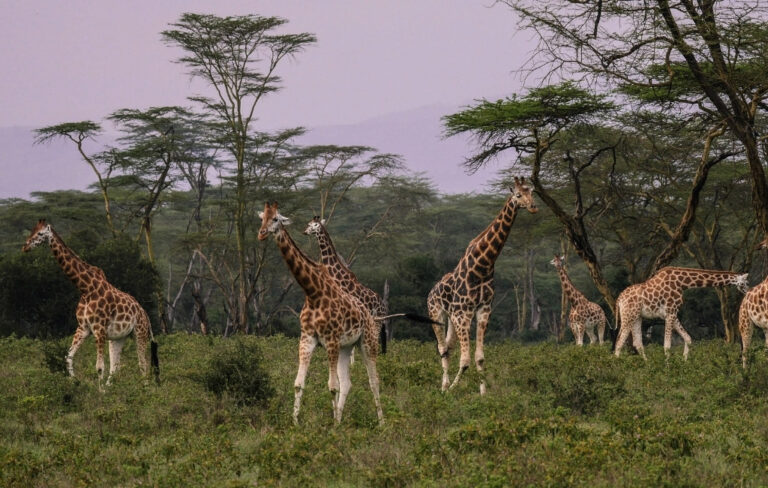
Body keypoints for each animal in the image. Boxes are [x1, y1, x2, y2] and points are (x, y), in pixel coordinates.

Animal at [22, 219, 159, 388]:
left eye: (40, 234)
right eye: (32, 230)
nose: (25, 246)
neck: (85, 289)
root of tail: (145, 314)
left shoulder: (99, 329)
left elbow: (99, 366)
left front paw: (99, 392)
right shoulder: (83, 328)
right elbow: (68, 358)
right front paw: (75, 382)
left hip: (140, 333)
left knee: (143, 364)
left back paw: (144, 389)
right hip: (118, 338)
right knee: (116, 366)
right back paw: (111, 388)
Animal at [427, 177, 538, 394]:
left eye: (531, 191)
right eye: (518, 195)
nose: (533, 207)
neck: (483, 266)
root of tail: (431, 291)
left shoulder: (483, 310)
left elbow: (479, 358)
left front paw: (483, 394)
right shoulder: (463, 313)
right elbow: (465, 360)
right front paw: (452, 390)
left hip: (451, 318)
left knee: (448, 347)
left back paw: (445, 385)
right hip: (437, 314)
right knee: (442, 348)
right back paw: (444, 387)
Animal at [614, 266, 748, 360]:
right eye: (745, 282)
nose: (747, 290)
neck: (683, 283)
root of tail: (619, 299)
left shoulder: (672, 313)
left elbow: (688, 338)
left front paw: (684, 362)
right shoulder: (670, 312)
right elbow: (667, 345)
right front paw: (668, 368)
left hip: (637, 317)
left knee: (637, 343)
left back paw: (647, 365)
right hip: (628, 315)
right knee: (619, 342)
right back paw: (616, 367)